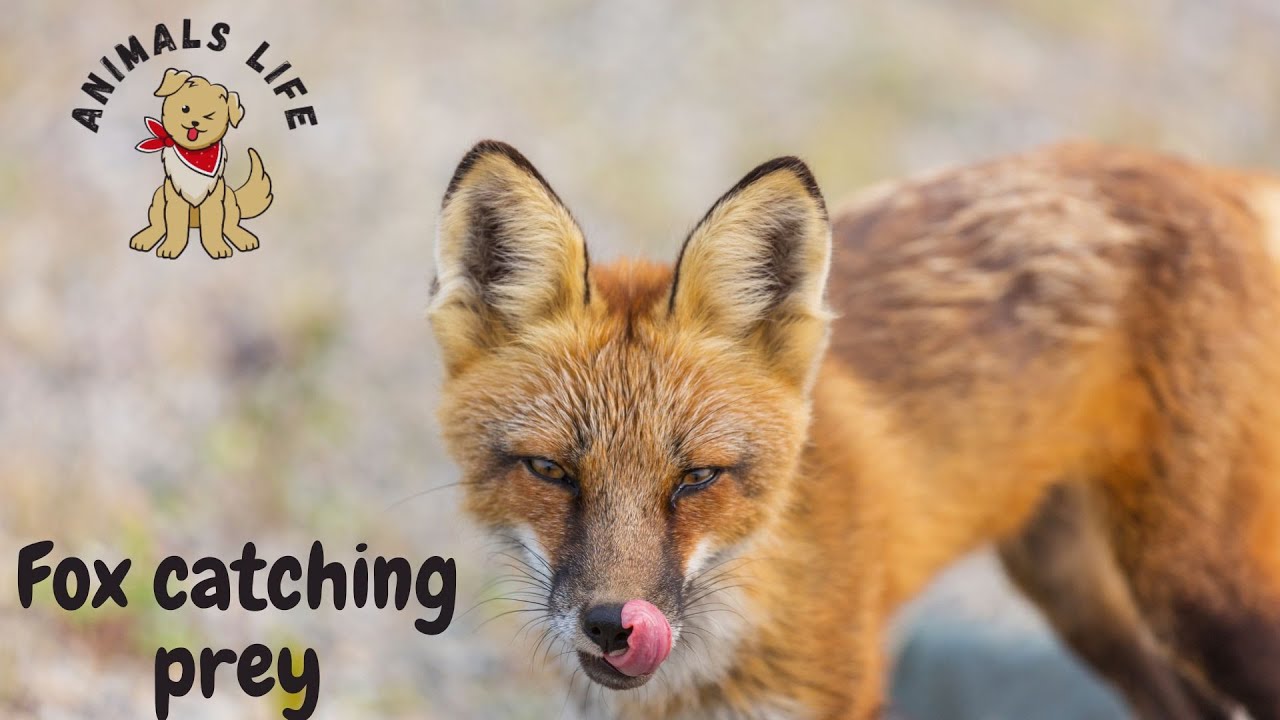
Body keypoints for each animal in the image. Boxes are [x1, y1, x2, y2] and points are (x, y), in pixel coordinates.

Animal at [427, 139, 1280, 720]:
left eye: (697, 478)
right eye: (551, 471)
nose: (614, 625)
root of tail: (1200, 173)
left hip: (1200, 598)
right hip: (1076, 594)